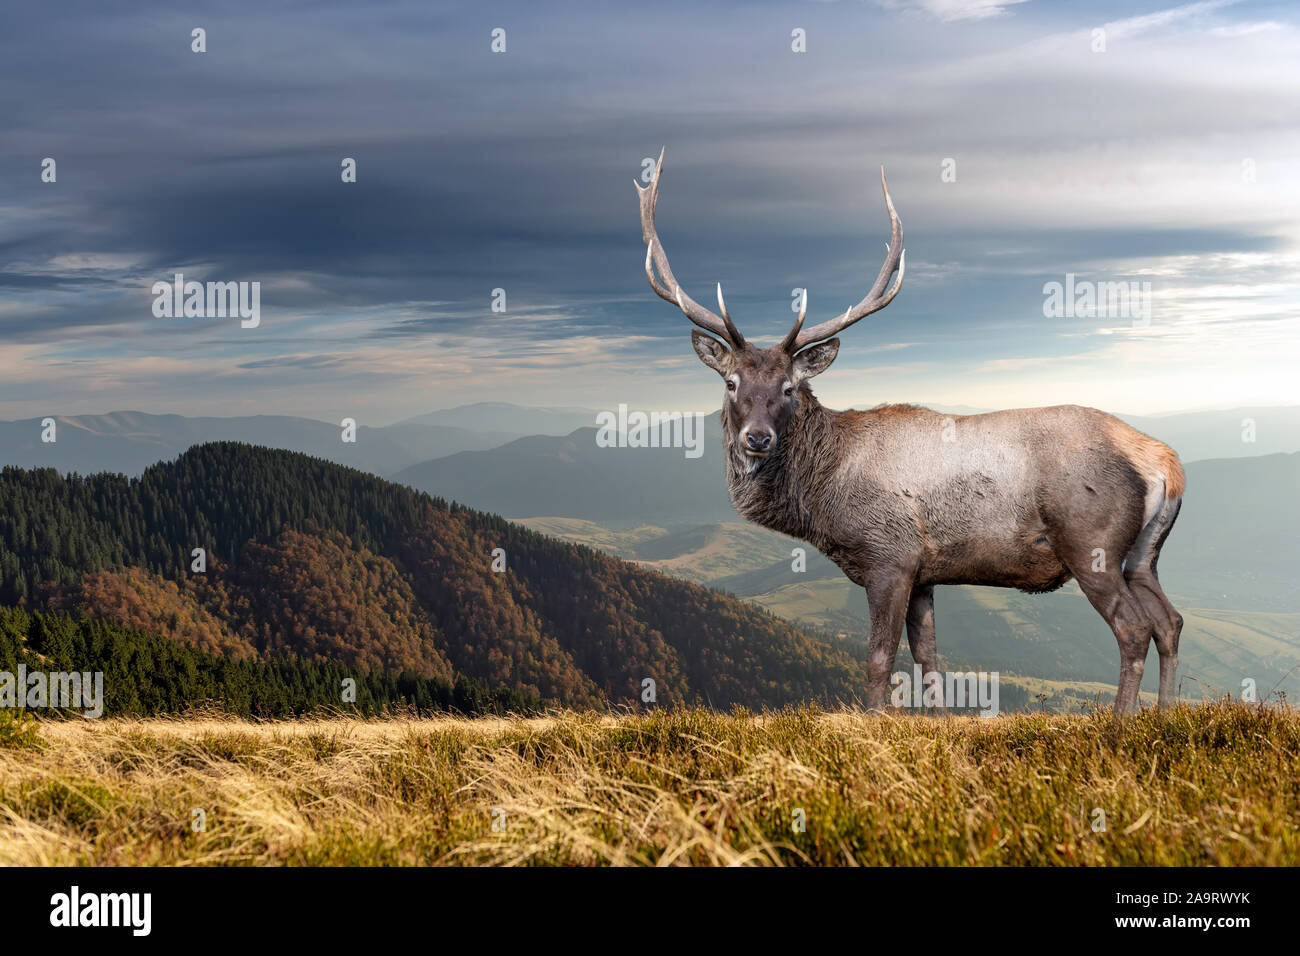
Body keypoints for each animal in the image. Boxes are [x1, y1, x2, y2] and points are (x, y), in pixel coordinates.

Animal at [636, 148, 1186, 715]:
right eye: (731, 382)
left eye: (789, 387)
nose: (757, 438)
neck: (824, 498)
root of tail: (1165, 463)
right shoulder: (925, 572)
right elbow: (928, 659)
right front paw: (938, 723)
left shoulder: (890, 558)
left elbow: (880, 659)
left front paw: (874, 721)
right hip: (1144, 555)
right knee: (1170, 621)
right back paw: (1164, 712)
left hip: (1091, 543)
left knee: (1134, 628)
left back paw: (1122, 720)